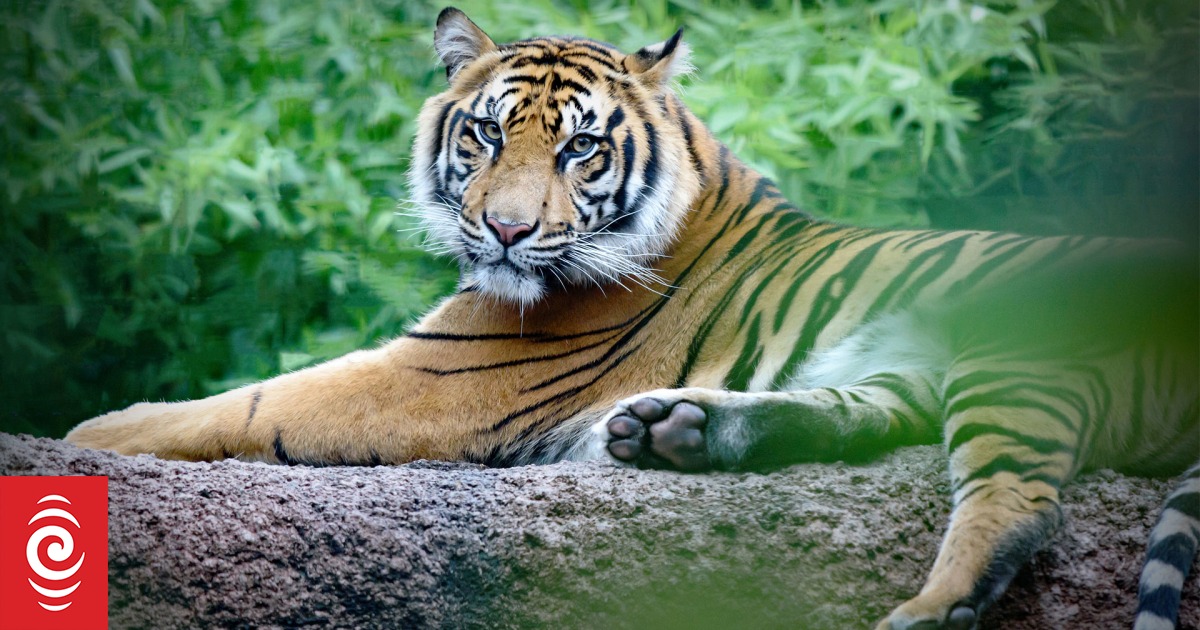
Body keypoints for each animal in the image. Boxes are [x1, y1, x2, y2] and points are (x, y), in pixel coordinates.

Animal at [64, 7, 1198, 630]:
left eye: (579, 149)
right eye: (484, 135)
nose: (508, 232)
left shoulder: (436, 373)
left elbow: (251, 401)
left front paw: (94, 430)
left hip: (1016, 361)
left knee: (1022, 498)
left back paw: (928, 610)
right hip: (919, 368)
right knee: (866, 415)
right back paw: (673, 430)